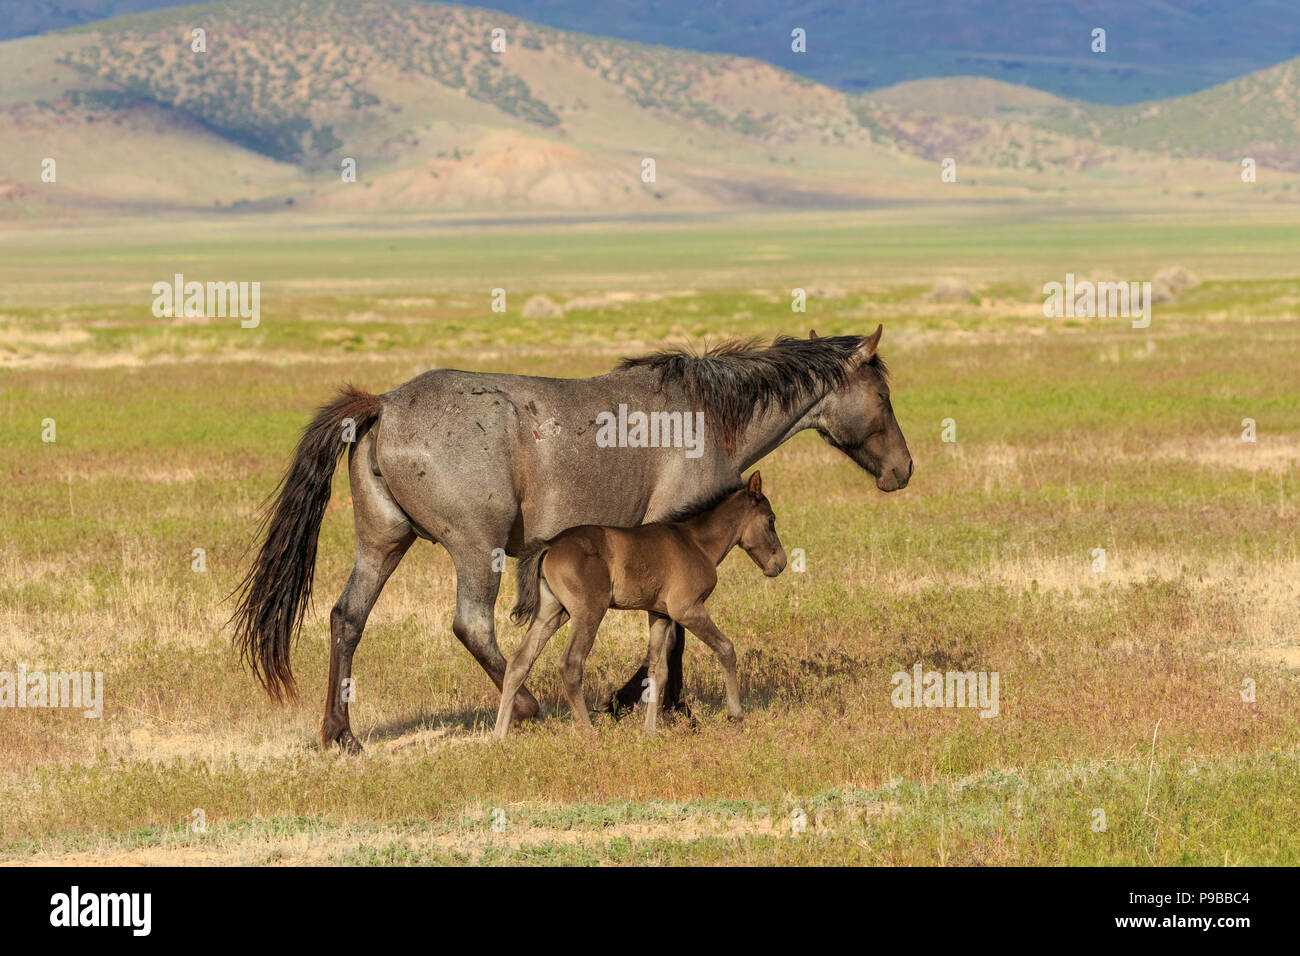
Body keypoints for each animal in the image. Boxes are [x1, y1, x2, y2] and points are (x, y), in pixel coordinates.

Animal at [495, 471, 785, 739]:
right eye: (771, 520)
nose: (780, 564)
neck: (696, 543)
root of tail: (550, 544)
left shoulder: (659, 614)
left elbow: (658, 669)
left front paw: (650, 731)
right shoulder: (688, 610)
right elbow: (726, 648)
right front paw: (735, 714)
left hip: (552, 612)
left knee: (520, 661)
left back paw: (499, 735)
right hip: (588, 612)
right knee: (570, 663)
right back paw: (588, 732)